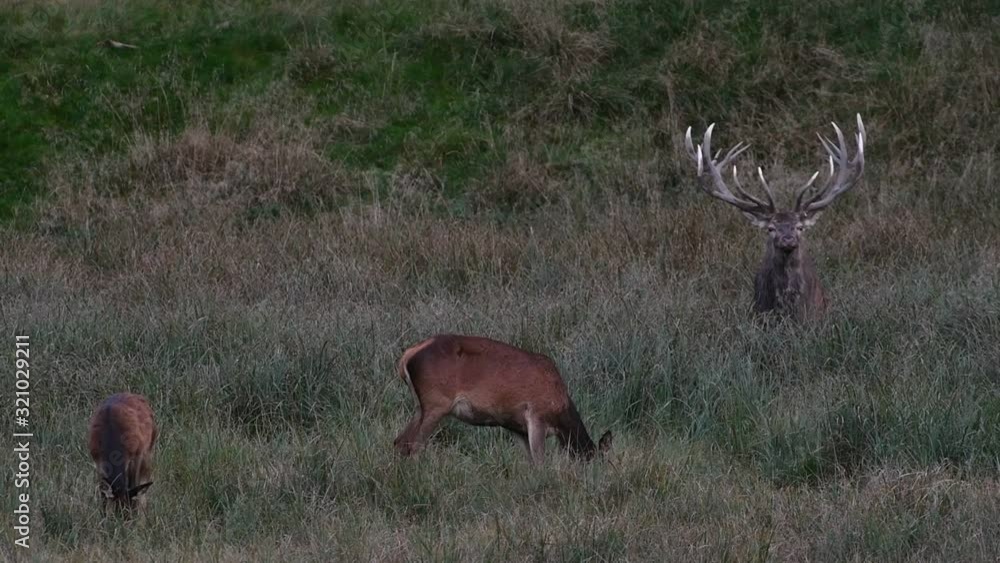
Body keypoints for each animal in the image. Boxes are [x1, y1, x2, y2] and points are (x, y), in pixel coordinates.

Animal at [394, 334, 612, 464]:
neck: (560, 410)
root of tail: (406, 357)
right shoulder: (536, 414)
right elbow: (540, 462)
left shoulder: (517, 427)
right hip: (436, 402)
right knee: (414, 444)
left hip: (420, 406)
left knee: (400, 441)